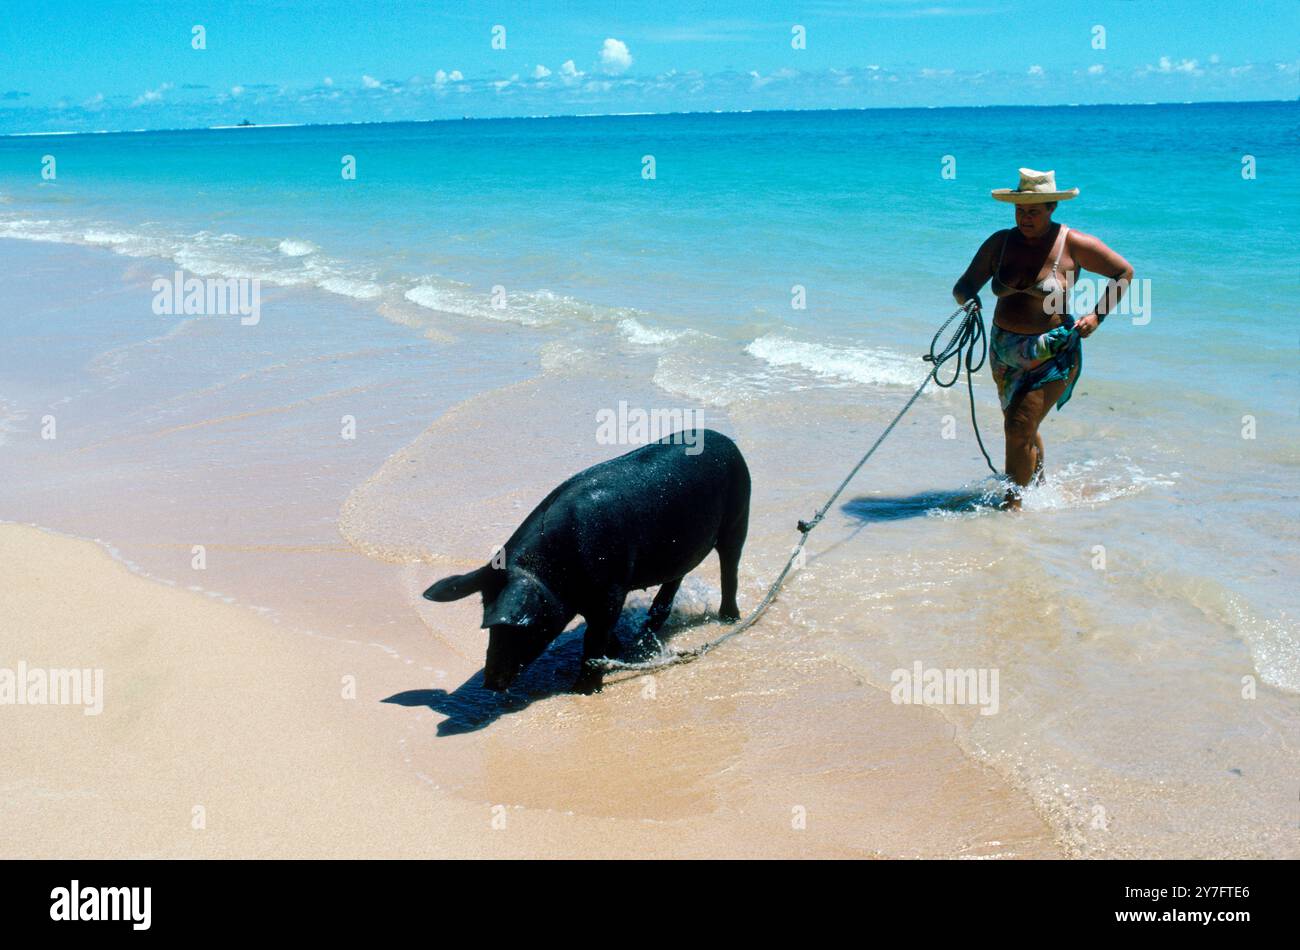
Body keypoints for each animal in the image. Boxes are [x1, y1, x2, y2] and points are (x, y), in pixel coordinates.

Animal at [422, 428, 750, 692]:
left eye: (522, 627)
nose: (491, 683)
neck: (556, 572)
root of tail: (727, 441)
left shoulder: (611, 590)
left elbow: (593, 640)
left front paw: (582, 690)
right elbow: (599, 633)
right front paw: (618, 650)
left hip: (739, 515)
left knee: (729, 568)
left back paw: (730, 619)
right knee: (674, 581)